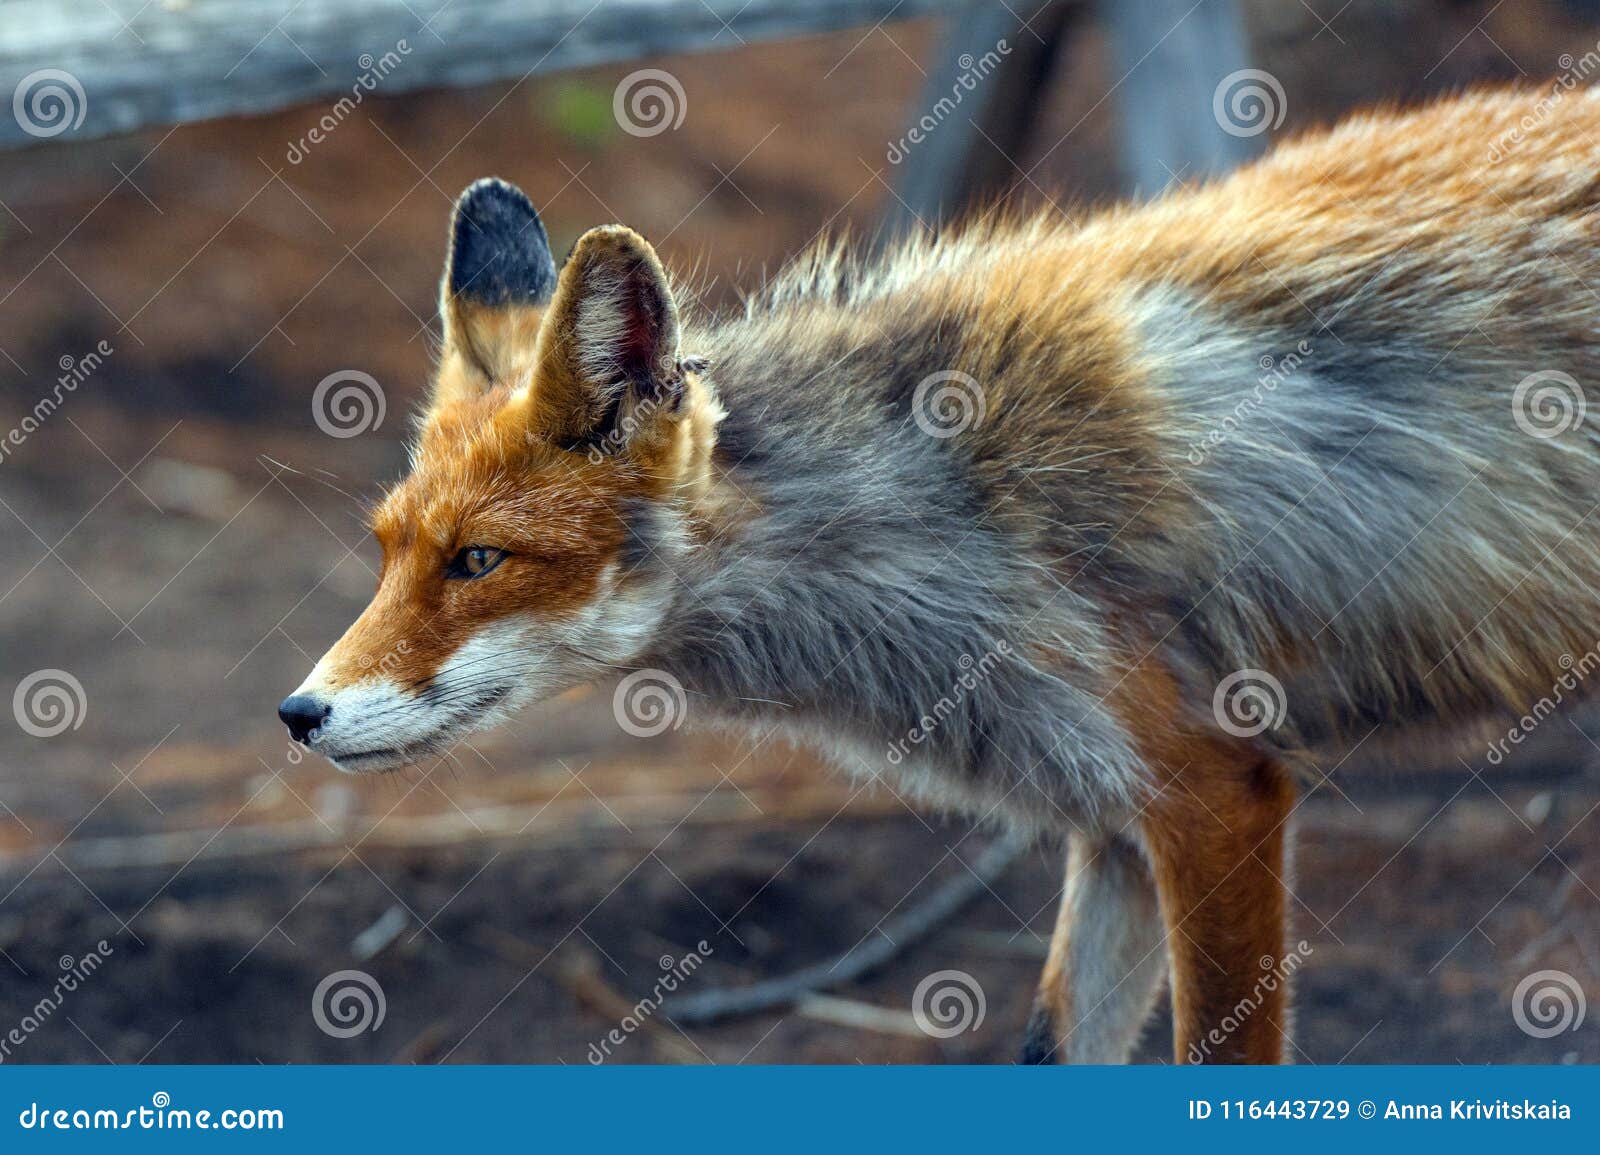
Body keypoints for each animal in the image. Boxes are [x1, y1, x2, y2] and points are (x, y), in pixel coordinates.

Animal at [280, 87, 1600, 1064]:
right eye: (390, 551)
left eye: (480, 562)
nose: (299, 713)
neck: (943, 507)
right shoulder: (1117, 822)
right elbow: (1051, 1054)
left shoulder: (1214, 788)